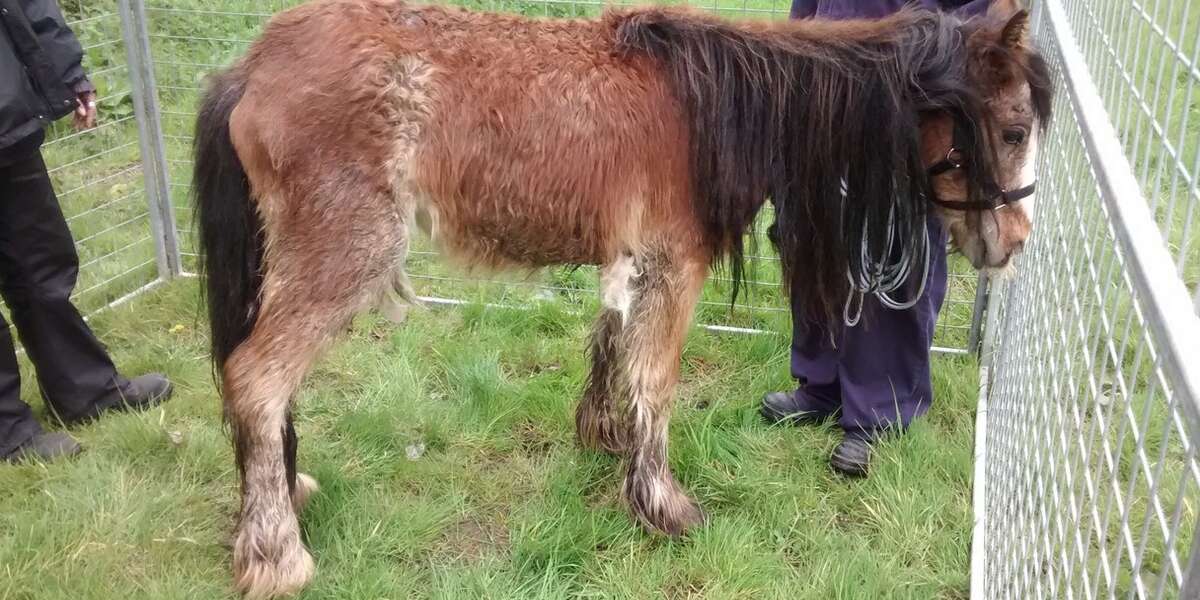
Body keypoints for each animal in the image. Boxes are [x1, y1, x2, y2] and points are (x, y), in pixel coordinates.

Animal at [192, 0, 1052, 596]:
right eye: (1012, 130)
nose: (1013, 242)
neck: (717, 102)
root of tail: (252, 68)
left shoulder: (629, 261)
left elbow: (611, 348)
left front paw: (604, 440)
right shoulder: (674, 267)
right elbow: (657, 382)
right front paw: (665, 506)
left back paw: (288, 493)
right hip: (343, 256)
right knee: (257, 379)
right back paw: (276, 554)